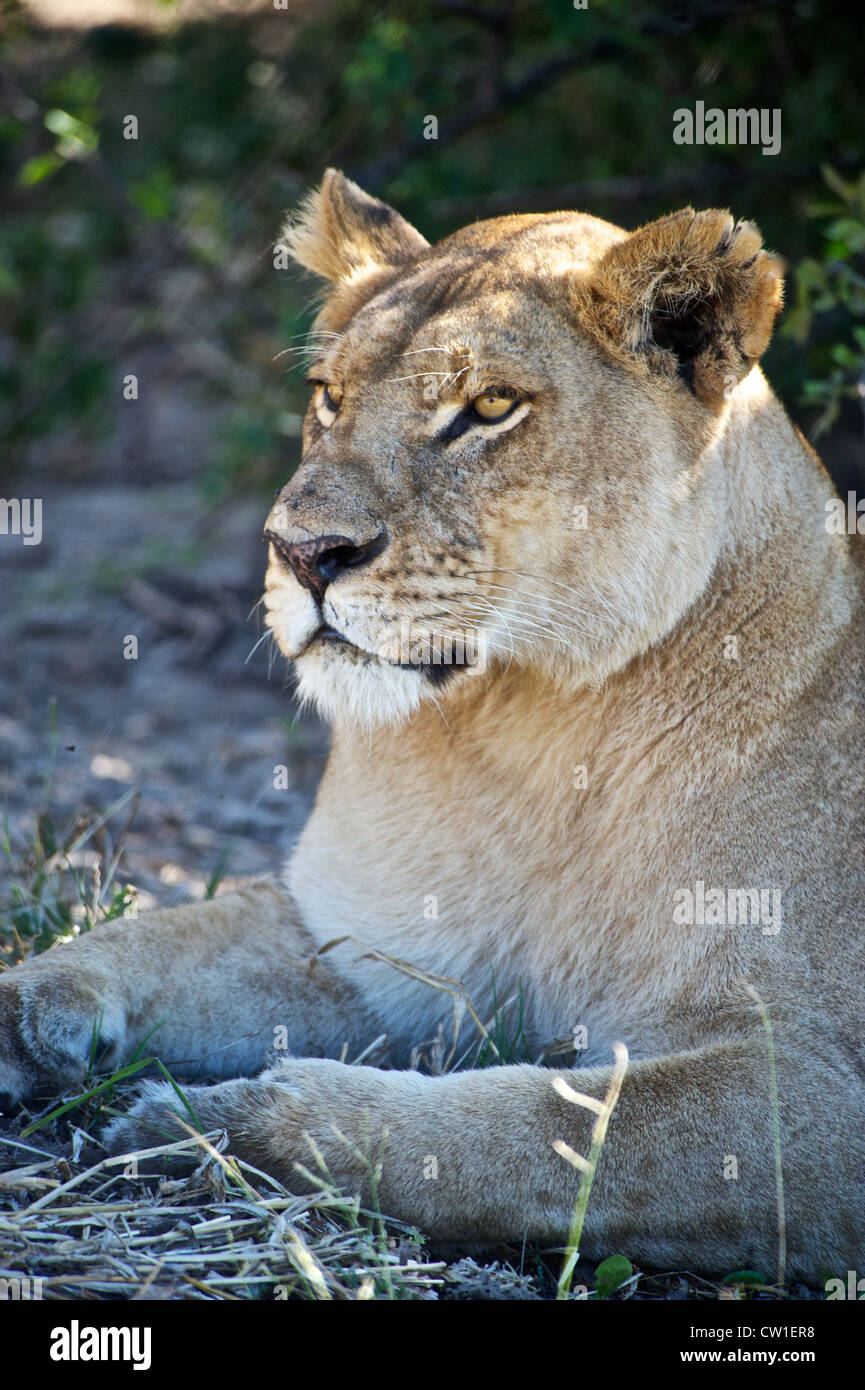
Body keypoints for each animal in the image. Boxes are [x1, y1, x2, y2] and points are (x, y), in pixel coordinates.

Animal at [1, 171, 863, 1285]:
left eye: (487, 407)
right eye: (328, 396)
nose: (300, 551)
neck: (533, 733)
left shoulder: (817, 1085)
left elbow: (549, 1130)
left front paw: (223, 1128)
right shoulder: (369, 947)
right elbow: (151, 940)